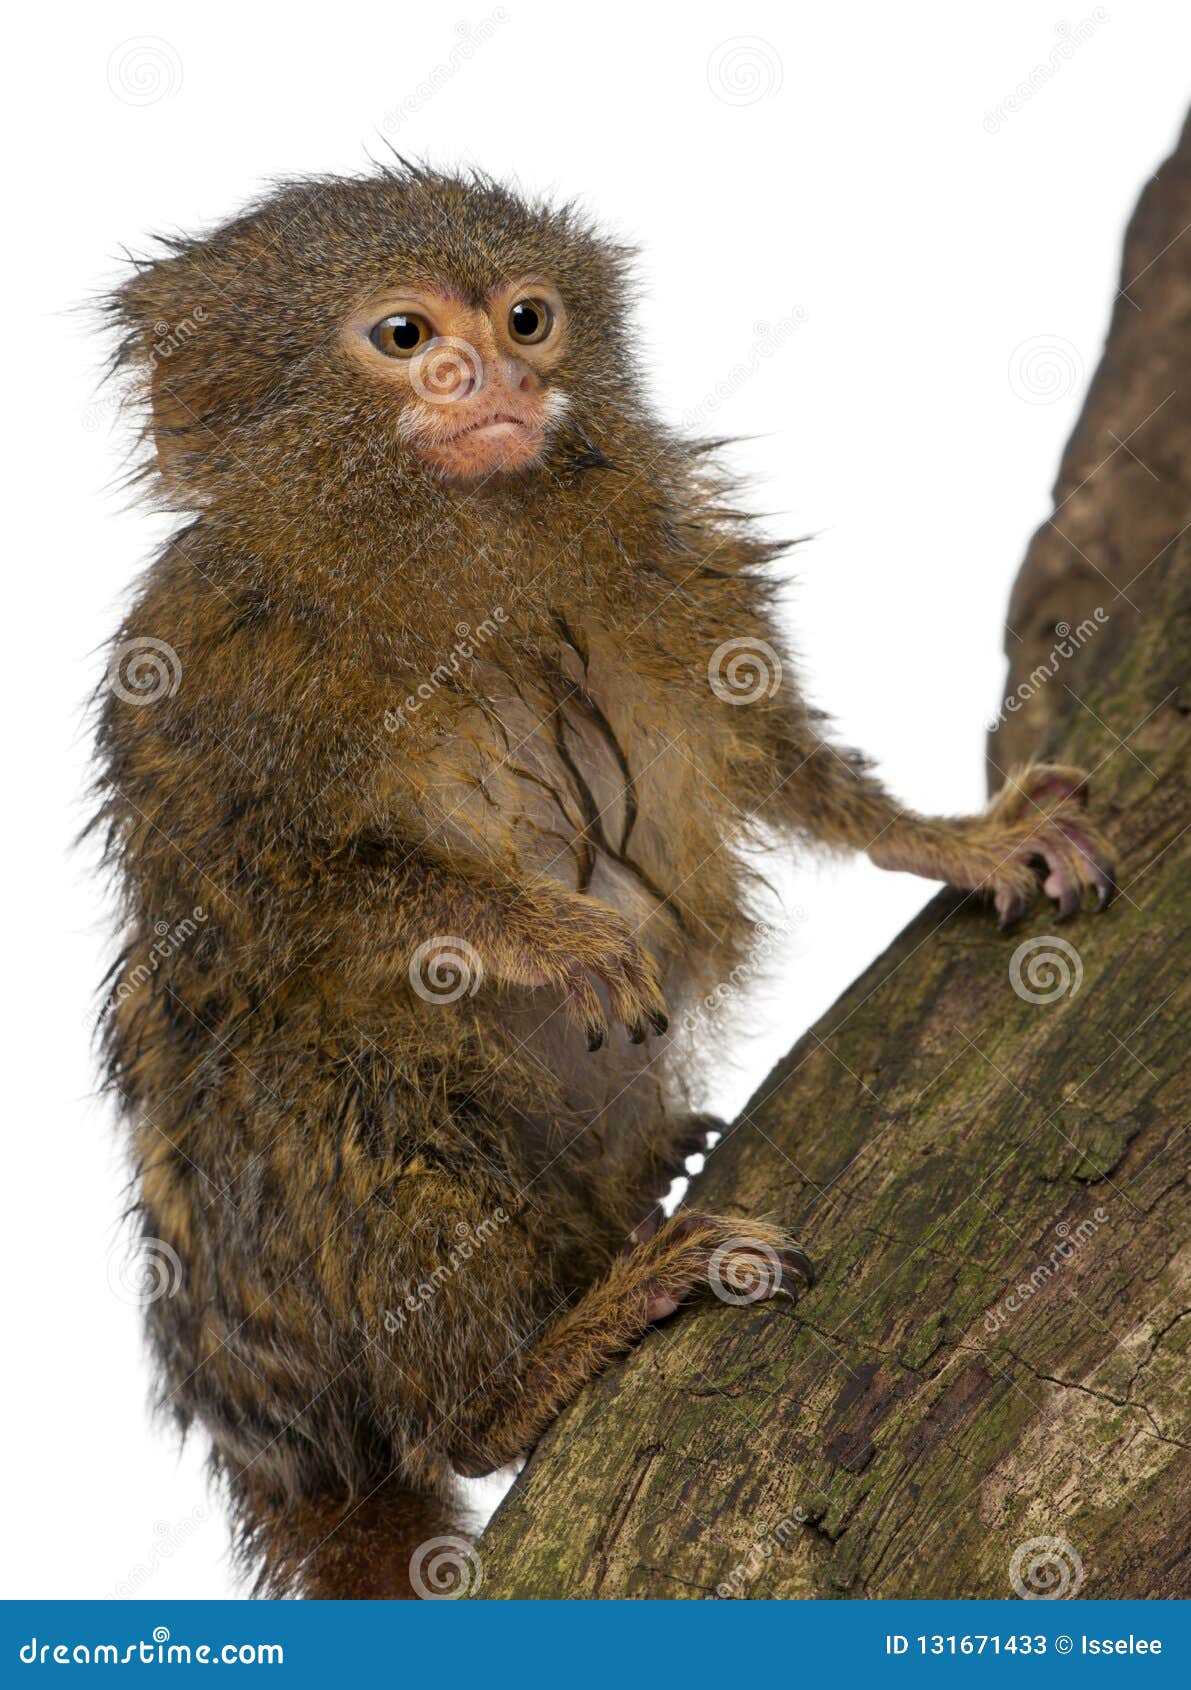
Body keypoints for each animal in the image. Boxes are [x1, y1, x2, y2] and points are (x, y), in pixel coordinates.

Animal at [93, 163, 1114, 1601]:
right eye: (404, 337)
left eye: (529, 317)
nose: (503, 380)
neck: (447, 557)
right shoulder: (190, 681)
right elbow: (254, 921)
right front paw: (545, 934)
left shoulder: (670, 571)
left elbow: (773, 758)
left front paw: (955, 837)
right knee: (333, 1103)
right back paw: (541, 1363)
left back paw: (634, 1185)